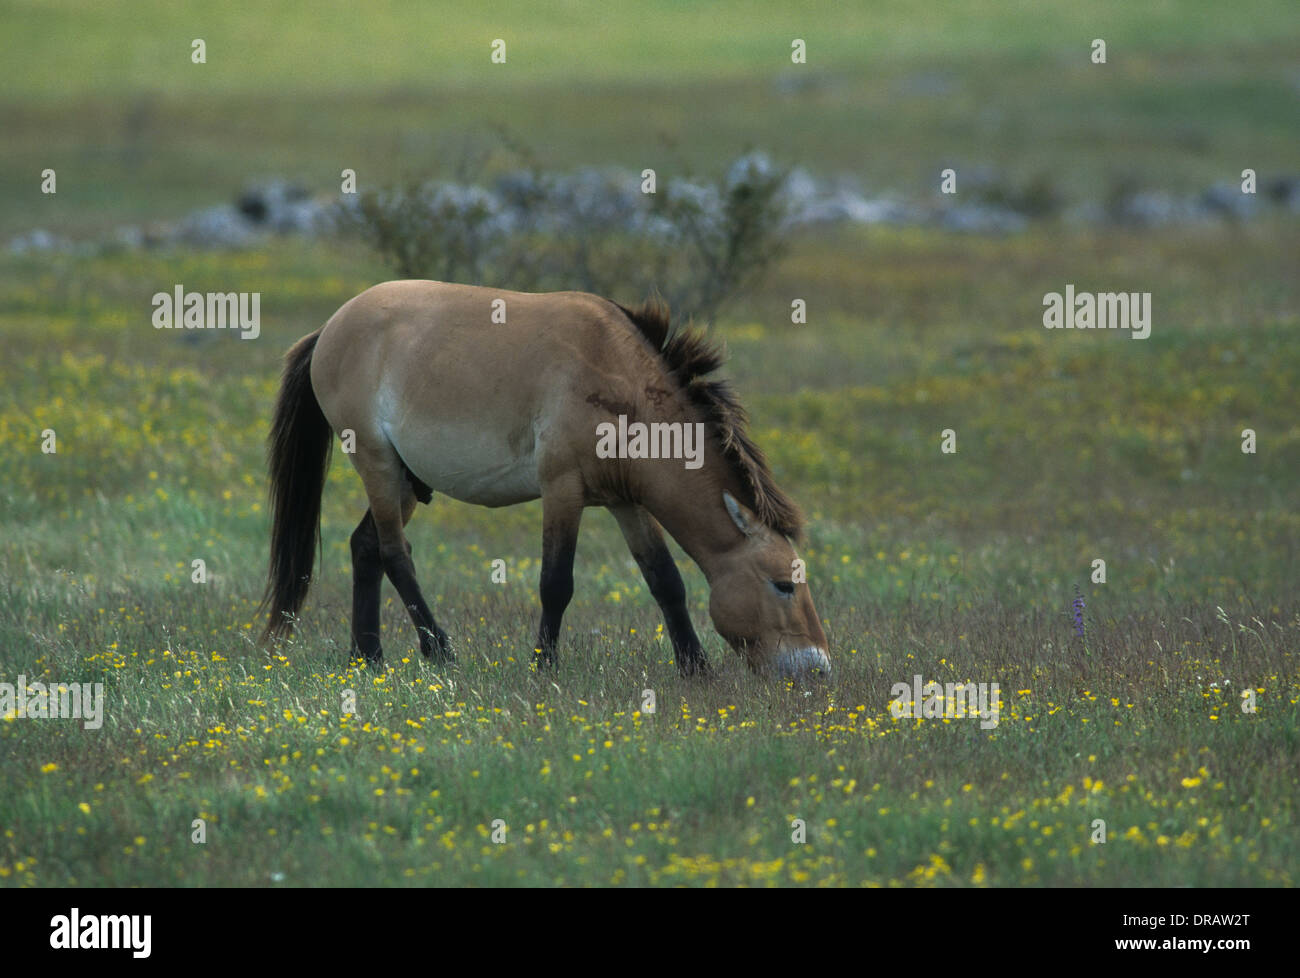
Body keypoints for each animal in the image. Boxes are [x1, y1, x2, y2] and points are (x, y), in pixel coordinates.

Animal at [259, 280, 830, 679]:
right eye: (783, 584)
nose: (818, 667)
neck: (619, 381)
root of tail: (330, 329)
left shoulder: (626, 502)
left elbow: (665, 581)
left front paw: (695, 668)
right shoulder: (562, 490)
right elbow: (556, 583)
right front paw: (544, 666)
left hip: (403, 479)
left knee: (365, 548)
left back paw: (368, 655)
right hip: (376, 463)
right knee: (395, 554)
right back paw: (439, 649)